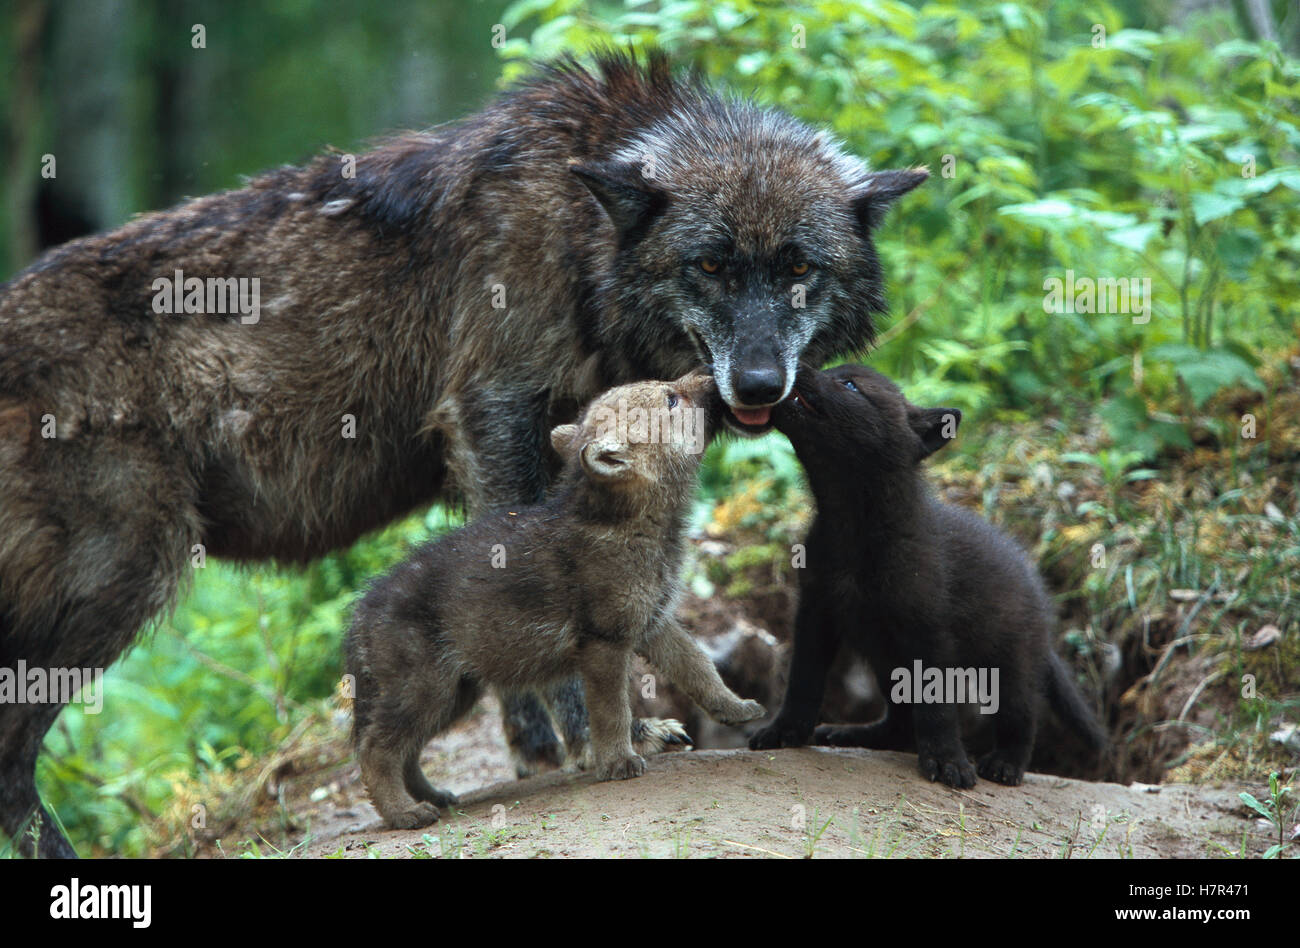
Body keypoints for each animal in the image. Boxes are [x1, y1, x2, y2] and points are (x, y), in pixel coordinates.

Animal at [0, 51, 926, 855]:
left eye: (799, 268)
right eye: (710, 266)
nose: (763, 382)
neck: (579, 237)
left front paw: (538, 742)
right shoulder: (495, 414)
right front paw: (598, 736)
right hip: (123, 582)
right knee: (13, 753)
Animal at [748, 365, 1107, 787]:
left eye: (850, 384)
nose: (798, 367)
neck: (853, 526)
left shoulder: (928, 630)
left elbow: (938, 708)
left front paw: (948, 761)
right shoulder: (816, 612)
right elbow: (802, 681)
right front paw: (784, 731)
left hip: (1012, 661)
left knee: (1022, 715)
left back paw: (1005, 764)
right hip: (886, 658)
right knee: (900, 722)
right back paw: (852, 734)